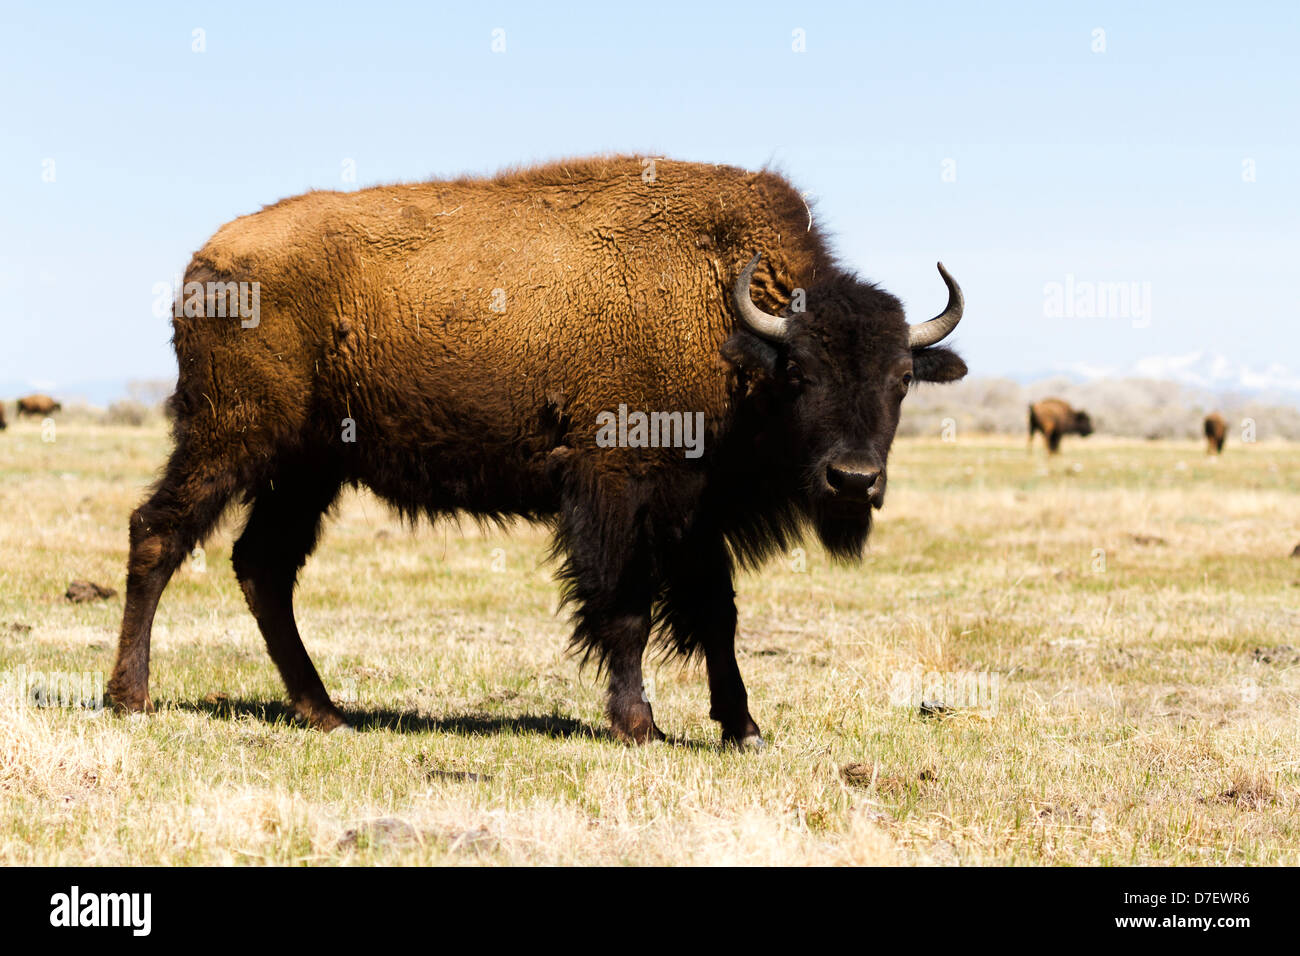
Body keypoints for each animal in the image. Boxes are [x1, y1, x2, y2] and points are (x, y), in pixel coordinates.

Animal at [109, 156, 969, 747]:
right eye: (799, 373)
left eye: (901, 379)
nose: (853, 479)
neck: (726, 320)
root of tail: (206, 262)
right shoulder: (618, 491)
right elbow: (625, 610)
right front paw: (638, 725)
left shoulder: (697, 511)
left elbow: (715, 615)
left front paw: (743, 728)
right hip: (231, 440)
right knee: (158, 533)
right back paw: (131, 697)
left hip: (307, 468)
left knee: (262, 565)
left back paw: (324, 711)